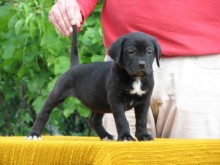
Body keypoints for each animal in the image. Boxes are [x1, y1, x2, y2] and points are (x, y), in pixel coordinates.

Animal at [27, 26, 162, 141]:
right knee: (44, 112)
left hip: (99, 102)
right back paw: (34, 134)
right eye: (131, 51)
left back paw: (106, 136)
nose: (142, 64)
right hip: (57, 93)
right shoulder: (116, 99)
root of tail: (75, 66)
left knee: (94, 120)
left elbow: (142, 119)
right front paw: (125, 136)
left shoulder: (144, 100)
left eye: (149, 52)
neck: (136, 78)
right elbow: (121, 119)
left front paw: (143, 136)